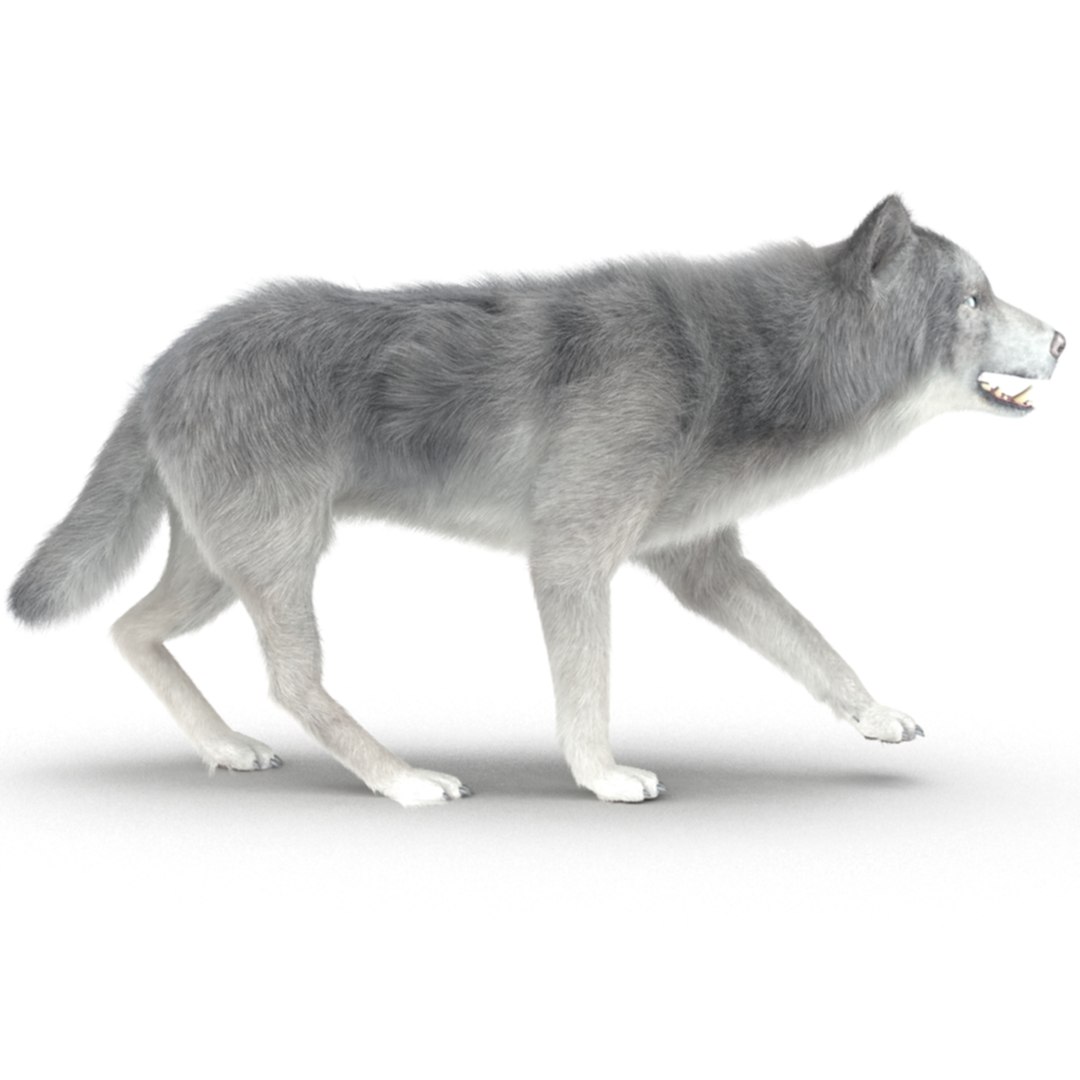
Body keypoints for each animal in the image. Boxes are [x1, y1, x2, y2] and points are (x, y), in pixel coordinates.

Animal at [8, 196, 1065, 805]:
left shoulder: (706, 567)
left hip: (219, 570)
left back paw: (226, 749)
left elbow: (810, 642)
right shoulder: (571, 558)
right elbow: (585, 691)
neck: (737, 359)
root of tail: (162, 364)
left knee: (130, 631)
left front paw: (874, 713)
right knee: (292, 682)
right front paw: (601, 777)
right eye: (973, 299)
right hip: (281, 562)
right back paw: (400, 780)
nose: (1060, 340)